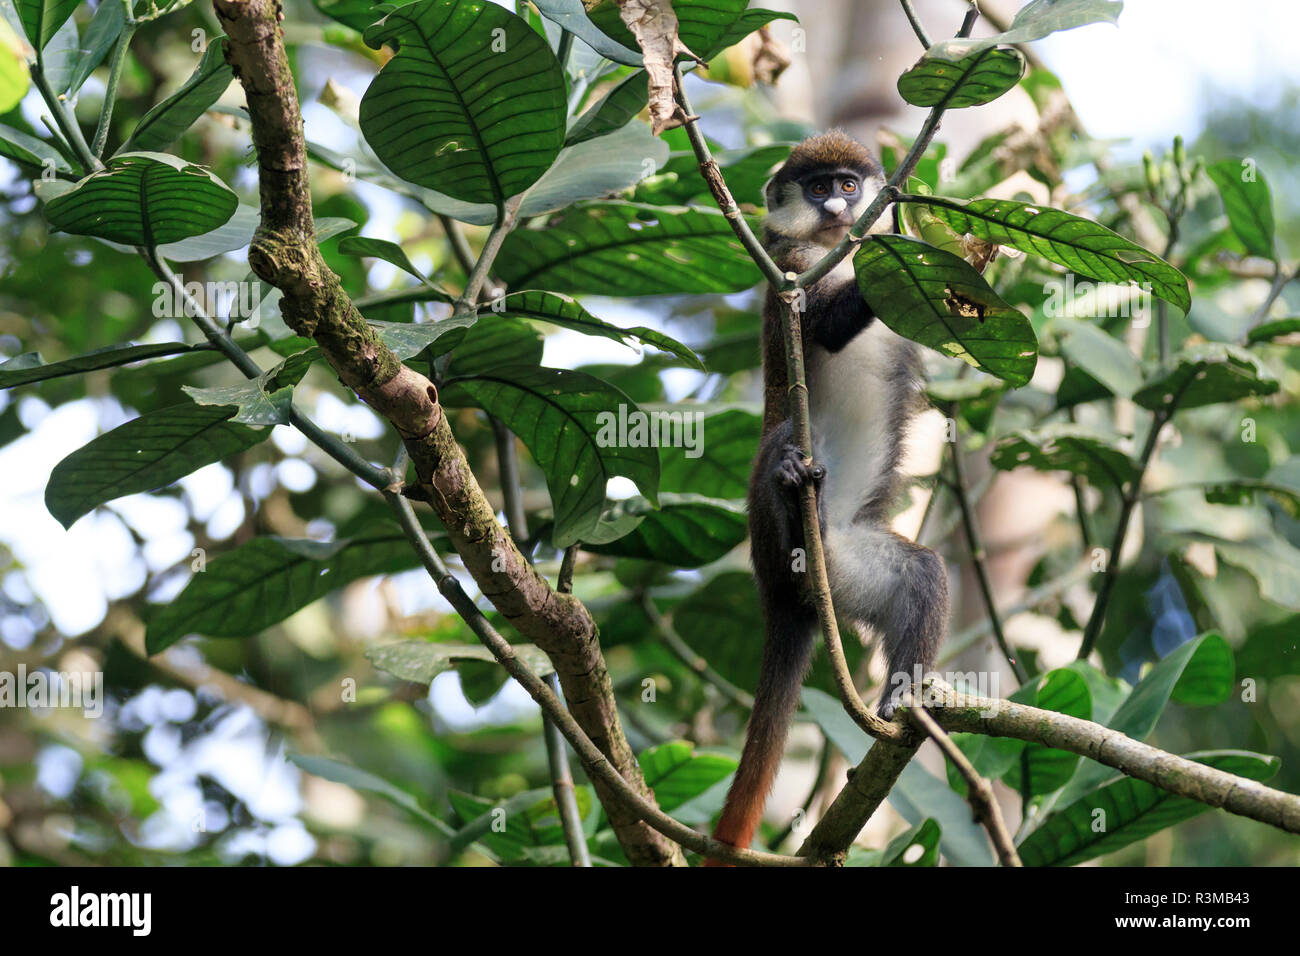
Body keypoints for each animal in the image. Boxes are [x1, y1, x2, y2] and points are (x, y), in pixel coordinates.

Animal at [706, 130, 949, 861]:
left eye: (848, 185)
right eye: (818, 189)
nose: (842, 210)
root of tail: (781, 599)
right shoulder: (789, 272)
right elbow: (827, 324)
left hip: (848, 569)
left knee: (922, 572)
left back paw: (901, 705)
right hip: (785, 530)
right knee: (780, 439)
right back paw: (790, 489)